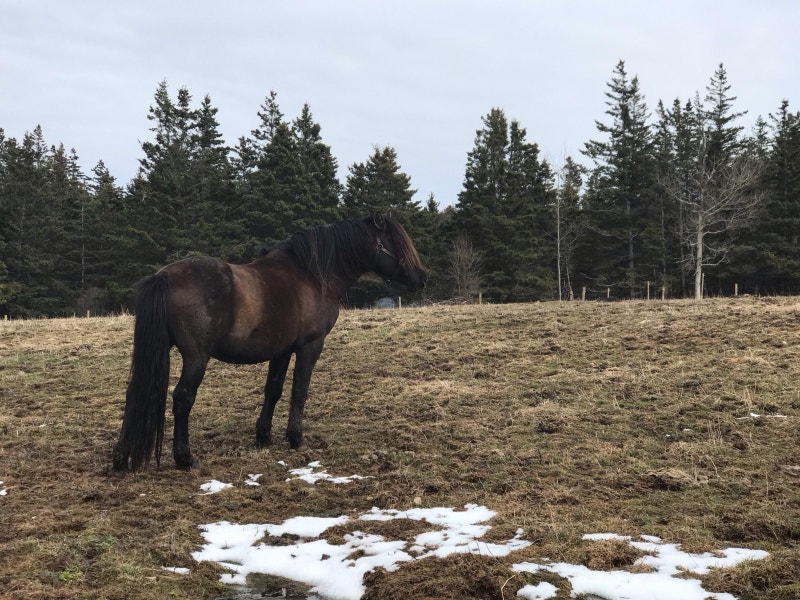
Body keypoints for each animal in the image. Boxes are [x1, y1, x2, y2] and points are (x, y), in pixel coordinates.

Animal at [112, 213, 427, 471]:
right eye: (396, 244)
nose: (421, 278)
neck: (312, 276)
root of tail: (163, 276)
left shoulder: (281, 350)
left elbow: (273, 390)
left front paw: (263, 436)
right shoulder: (310, 345)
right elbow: (299, 391)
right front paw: (296, 439)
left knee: (135, 392)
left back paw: (121, 457)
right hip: (196, 357)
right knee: (183, 398)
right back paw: (185, 458)